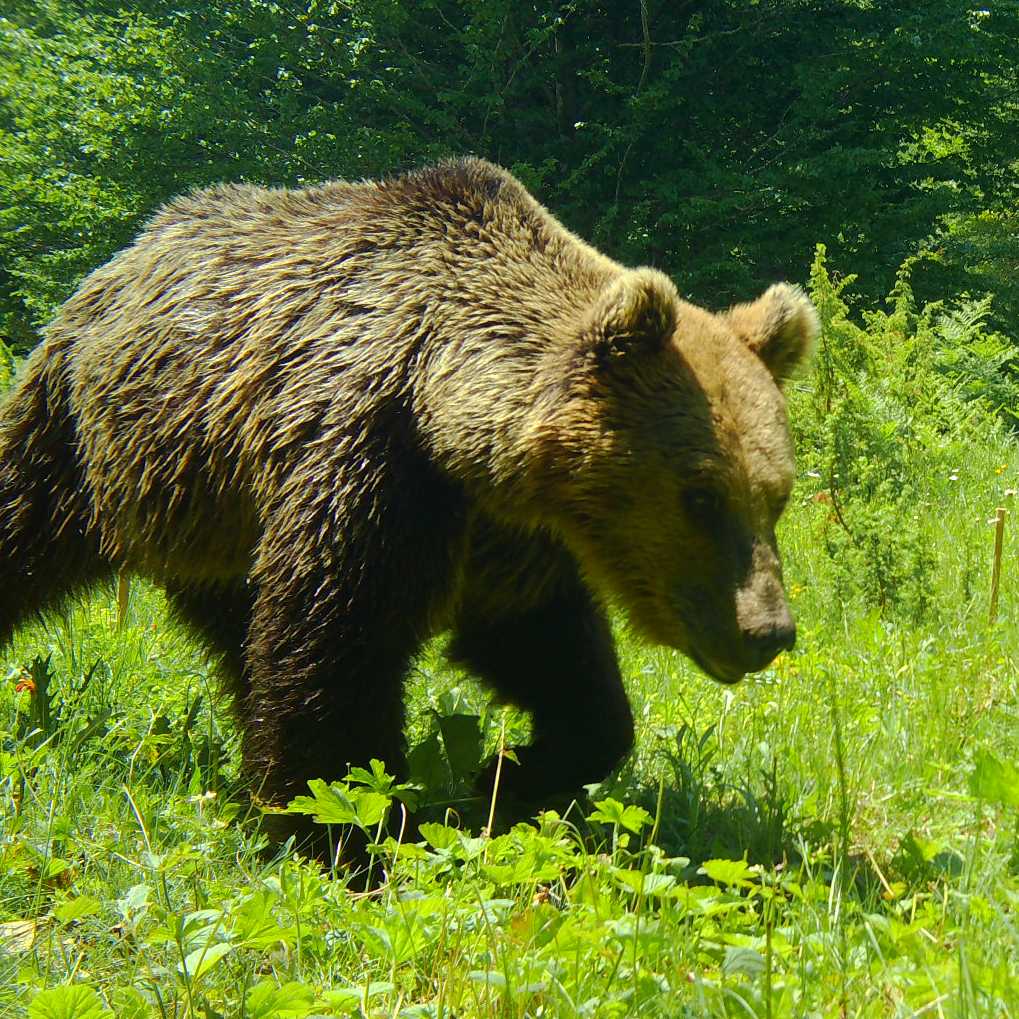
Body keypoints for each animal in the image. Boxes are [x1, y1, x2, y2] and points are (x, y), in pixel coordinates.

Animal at [0, 158, 816, 852]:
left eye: (774, 495)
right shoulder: (371, 464)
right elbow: (333, 647)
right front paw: (343, 834)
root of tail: (130, 249)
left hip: (211, 514)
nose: (766, 630)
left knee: (235, 631)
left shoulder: (506, 536)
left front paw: (509, 773)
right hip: (81, 432)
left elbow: (551, 653)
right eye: (700, 495)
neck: (451, 419)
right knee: (24, 523)